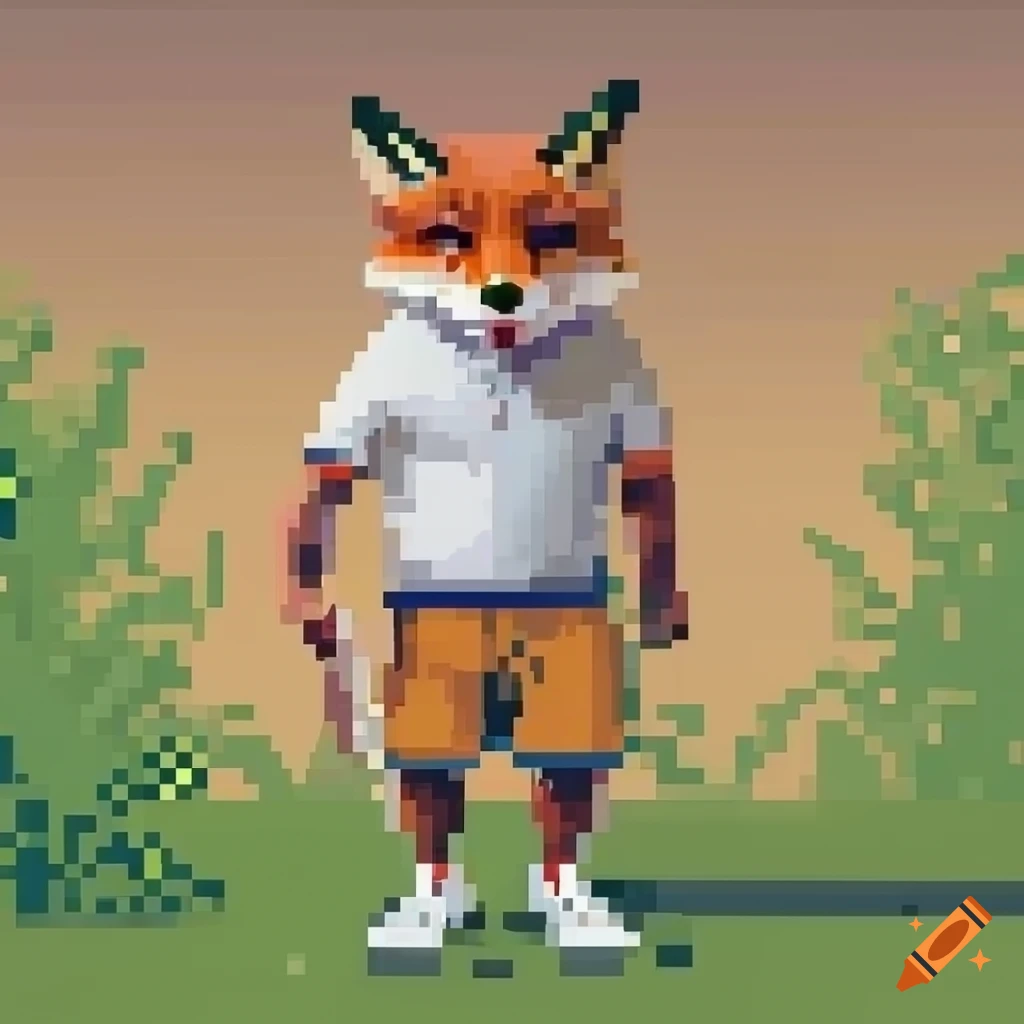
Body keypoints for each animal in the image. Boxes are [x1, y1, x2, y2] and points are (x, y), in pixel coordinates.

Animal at [282, 79, 688, 969]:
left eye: (551, 235)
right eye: (448, 236)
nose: (502, 295)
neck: (499, 356)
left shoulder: (633, 390)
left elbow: (650, 488)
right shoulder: (363, 391)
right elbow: (326, 484)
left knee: (562, 785)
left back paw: (562, 900)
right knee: (431, 782)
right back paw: (437, 904)